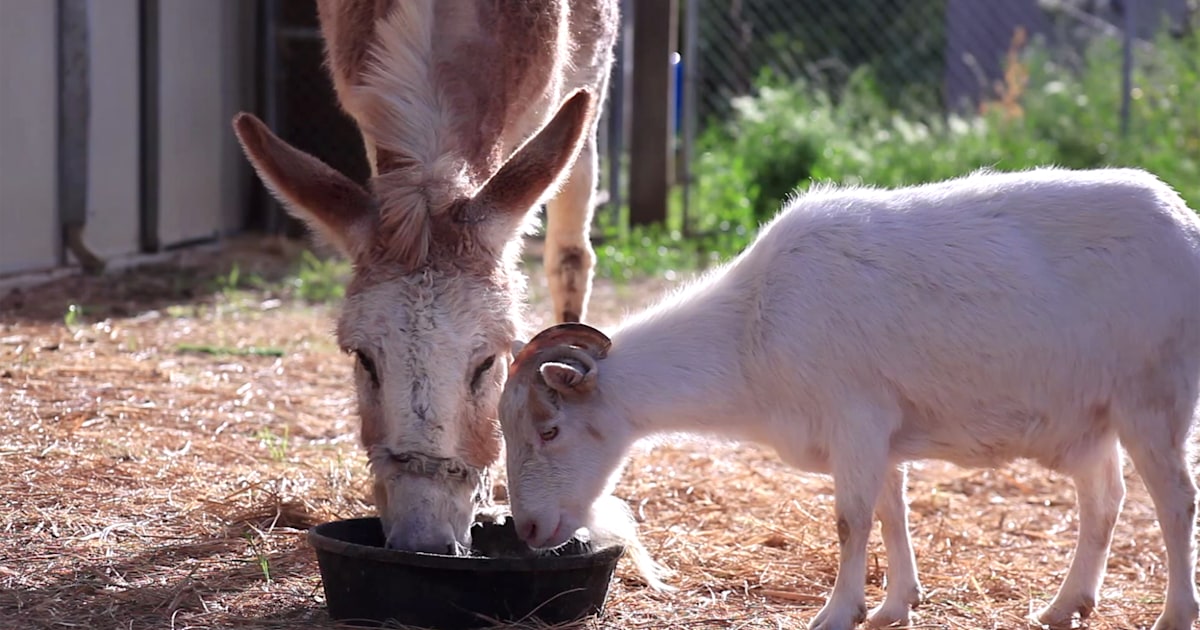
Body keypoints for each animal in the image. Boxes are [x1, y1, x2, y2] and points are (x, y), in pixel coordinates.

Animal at [499, 167, 1200, 630]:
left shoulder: (856, 421)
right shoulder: (881, 435)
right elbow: (893, 511)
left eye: (550, 430)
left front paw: (838, 612)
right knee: (1104, 499)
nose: (529, 528)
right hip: (1091, 421)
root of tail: (1185, 225)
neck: (751, 327)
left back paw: (1173, 614)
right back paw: (1063, 606)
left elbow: (851, 520)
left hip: (1151, 399)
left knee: (1174, 501)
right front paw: (895, 605)